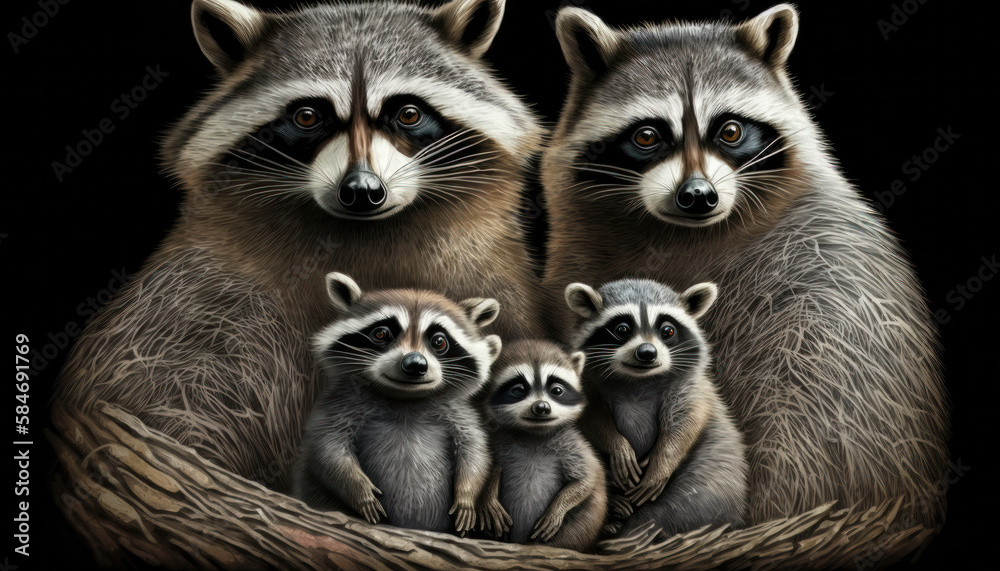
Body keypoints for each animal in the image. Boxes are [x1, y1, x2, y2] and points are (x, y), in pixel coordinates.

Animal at [55, 0, 544, 489]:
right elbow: (164, 385)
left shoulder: (488, 271)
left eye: (407, 113)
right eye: (308, 116)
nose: (362, 191)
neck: (360, 235)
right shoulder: (200, 289)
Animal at [293, 273, 499, 533]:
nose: (415, 364)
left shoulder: (460, 414)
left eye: (439, 341)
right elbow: (328, 447)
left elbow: (475, 451)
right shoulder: (340, 405)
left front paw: (466, 495)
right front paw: (359, 490)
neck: (405, 399)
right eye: (381, 333)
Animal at [476, 340, 606, 552]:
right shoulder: (495, 440)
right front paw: (489, 494)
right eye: (518, 390)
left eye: (557, 390)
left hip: (583, 523)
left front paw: (559, 506)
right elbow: (485, 469)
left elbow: (587, 478)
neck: (534, 435)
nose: (541, 407)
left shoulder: (573, 444)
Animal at [565, 279, 746, 538]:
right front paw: (615, 443)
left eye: (668, 330)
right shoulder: (584, 383)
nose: (647, 353)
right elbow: (591, 417)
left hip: (715, 469)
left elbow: (686, 420)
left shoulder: (691, 387)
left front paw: (662, 463)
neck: (638, 379)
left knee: (694, 495)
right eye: (622, 329)